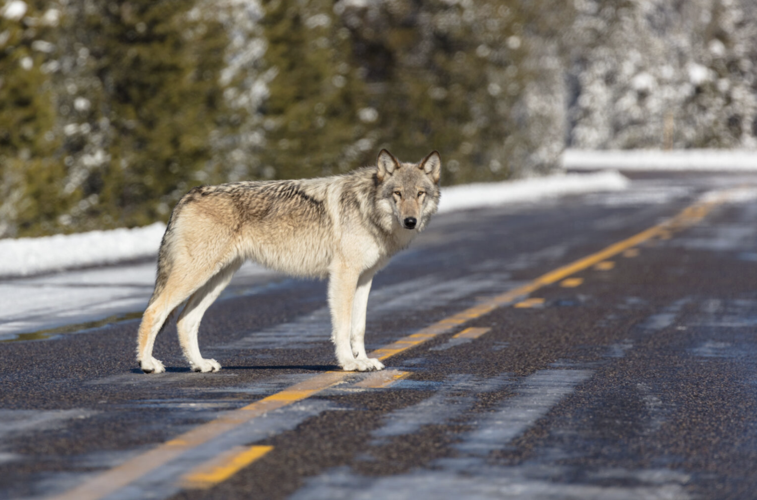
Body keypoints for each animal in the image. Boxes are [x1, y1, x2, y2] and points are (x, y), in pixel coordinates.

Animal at [136, 149, 441, 374]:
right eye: (397, 194)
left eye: (420, 194)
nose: (410, 221)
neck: (368, 208)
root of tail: (187, 196)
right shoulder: (343, 275)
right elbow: (342, 327)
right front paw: (349, 363)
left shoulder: (365, 278)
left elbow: (359, 327)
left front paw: (364, 360)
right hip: (196, 276)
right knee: (154, 311)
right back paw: (148, 364)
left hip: (217, 280)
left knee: (185, 321)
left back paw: (200, 365)